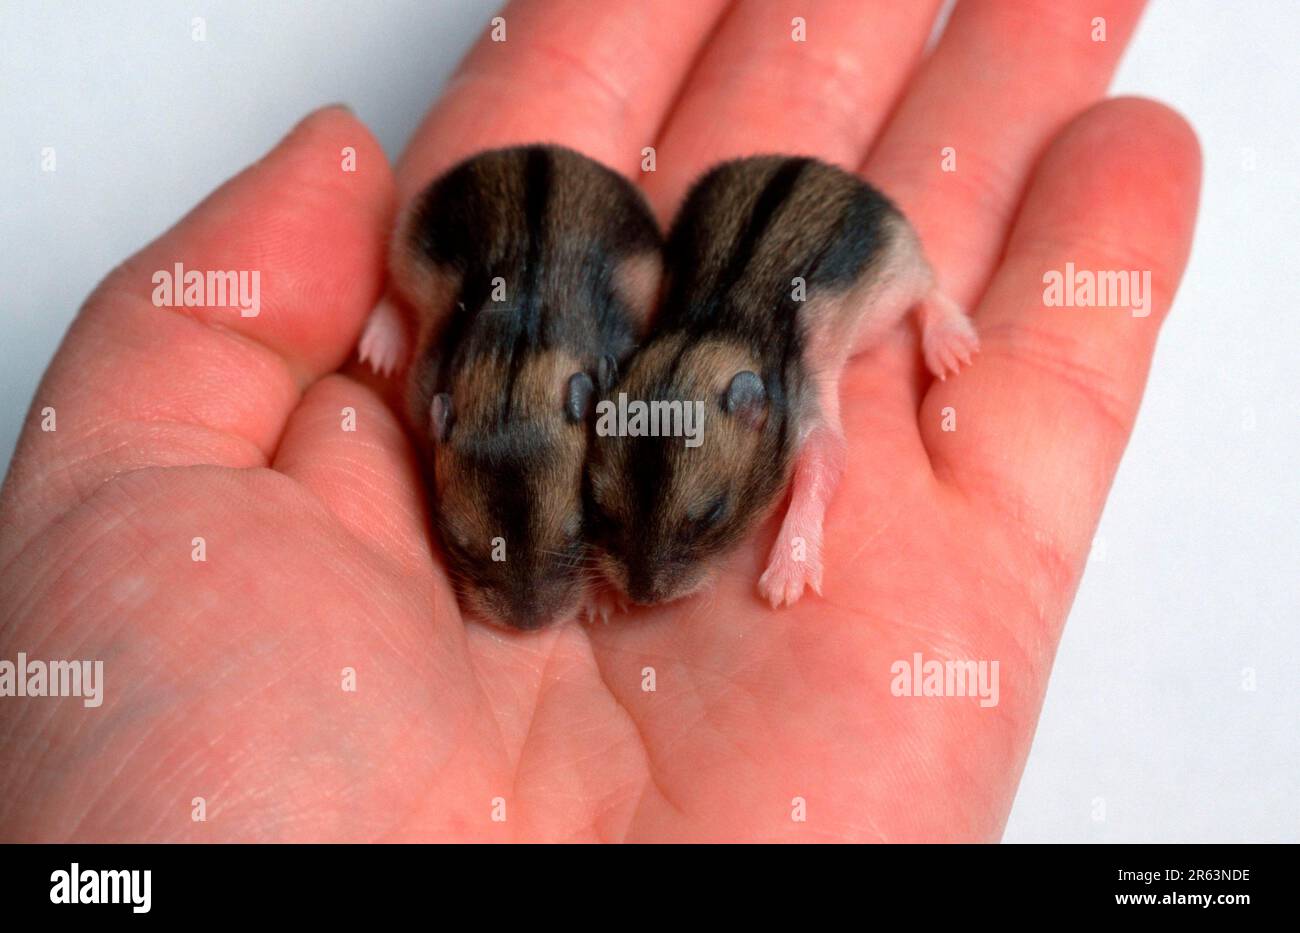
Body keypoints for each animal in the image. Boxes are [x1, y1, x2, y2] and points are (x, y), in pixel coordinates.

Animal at [358, 145, 662, 630]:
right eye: (457, 543)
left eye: (579, 531)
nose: (528, 627)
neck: (512, 378)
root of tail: (535, 147)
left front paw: (602, 604)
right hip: (411, 242)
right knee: (394, 292)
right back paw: (378, 350)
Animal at [585, 155, 977, 609]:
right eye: (600, 509)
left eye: (713, 512)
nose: (643, 597)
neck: (710, 332)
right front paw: (600, 601)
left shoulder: (804, 399)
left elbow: (825, 455)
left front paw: (784, 583)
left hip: (897, 277)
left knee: (930, 290)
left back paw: (952, 348)